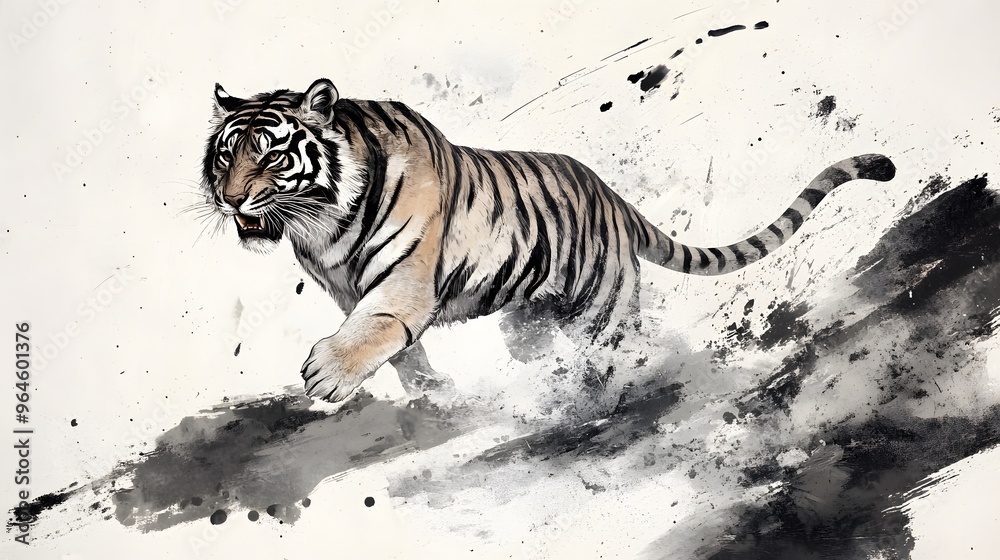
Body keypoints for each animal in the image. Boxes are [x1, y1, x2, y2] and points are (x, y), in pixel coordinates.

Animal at [201, 78, 896, 403]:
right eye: (225, 155)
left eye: (271, 155)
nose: (231, 200)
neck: (320, 223)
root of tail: (613, 197)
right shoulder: (347, 289)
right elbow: (400, 351)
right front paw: (435, 396)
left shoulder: (402, 283)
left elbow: (378, 327)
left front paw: (327, 373)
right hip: (532, 312)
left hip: (603, 311)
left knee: (626, 352)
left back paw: (614, 394)